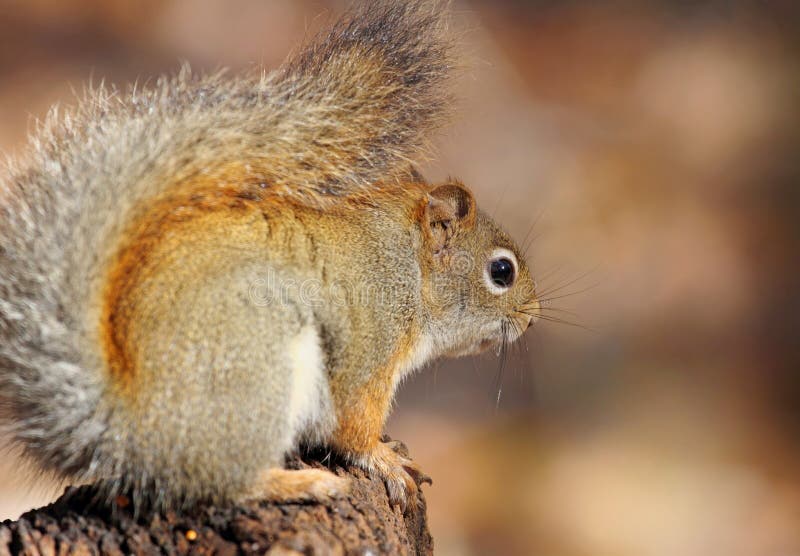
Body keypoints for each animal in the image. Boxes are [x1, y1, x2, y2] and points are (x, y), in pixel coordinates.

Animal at [0, 1, 540, 512]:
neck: (406, 266)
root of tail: (132, 432)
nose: (532, 320)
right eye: (502, 271)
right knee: (224, 483)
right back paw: (299, 483)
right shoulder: (368, 344)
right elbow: (353, 424)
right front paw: (384, 459)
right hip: (260, 371)